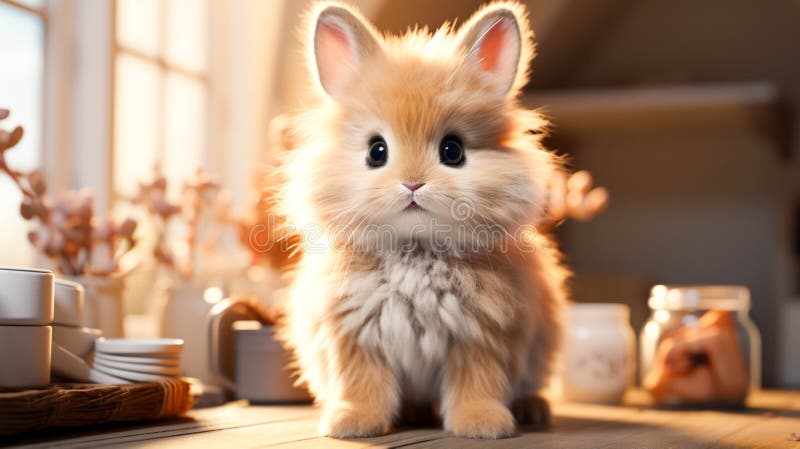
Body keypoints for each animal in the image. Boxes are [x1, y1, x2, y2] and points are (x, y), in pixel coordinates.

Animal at [275, 1, 571, 439]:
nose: (413, 184)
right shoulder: (353, 335)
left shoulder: (482, 336)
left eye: (453, 150)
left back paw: (533, 409)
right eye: (376, 151)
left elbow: (477, 383)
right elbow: (362, 383)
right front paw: (352, 423)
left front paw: (483, 424)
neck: (414, 249)